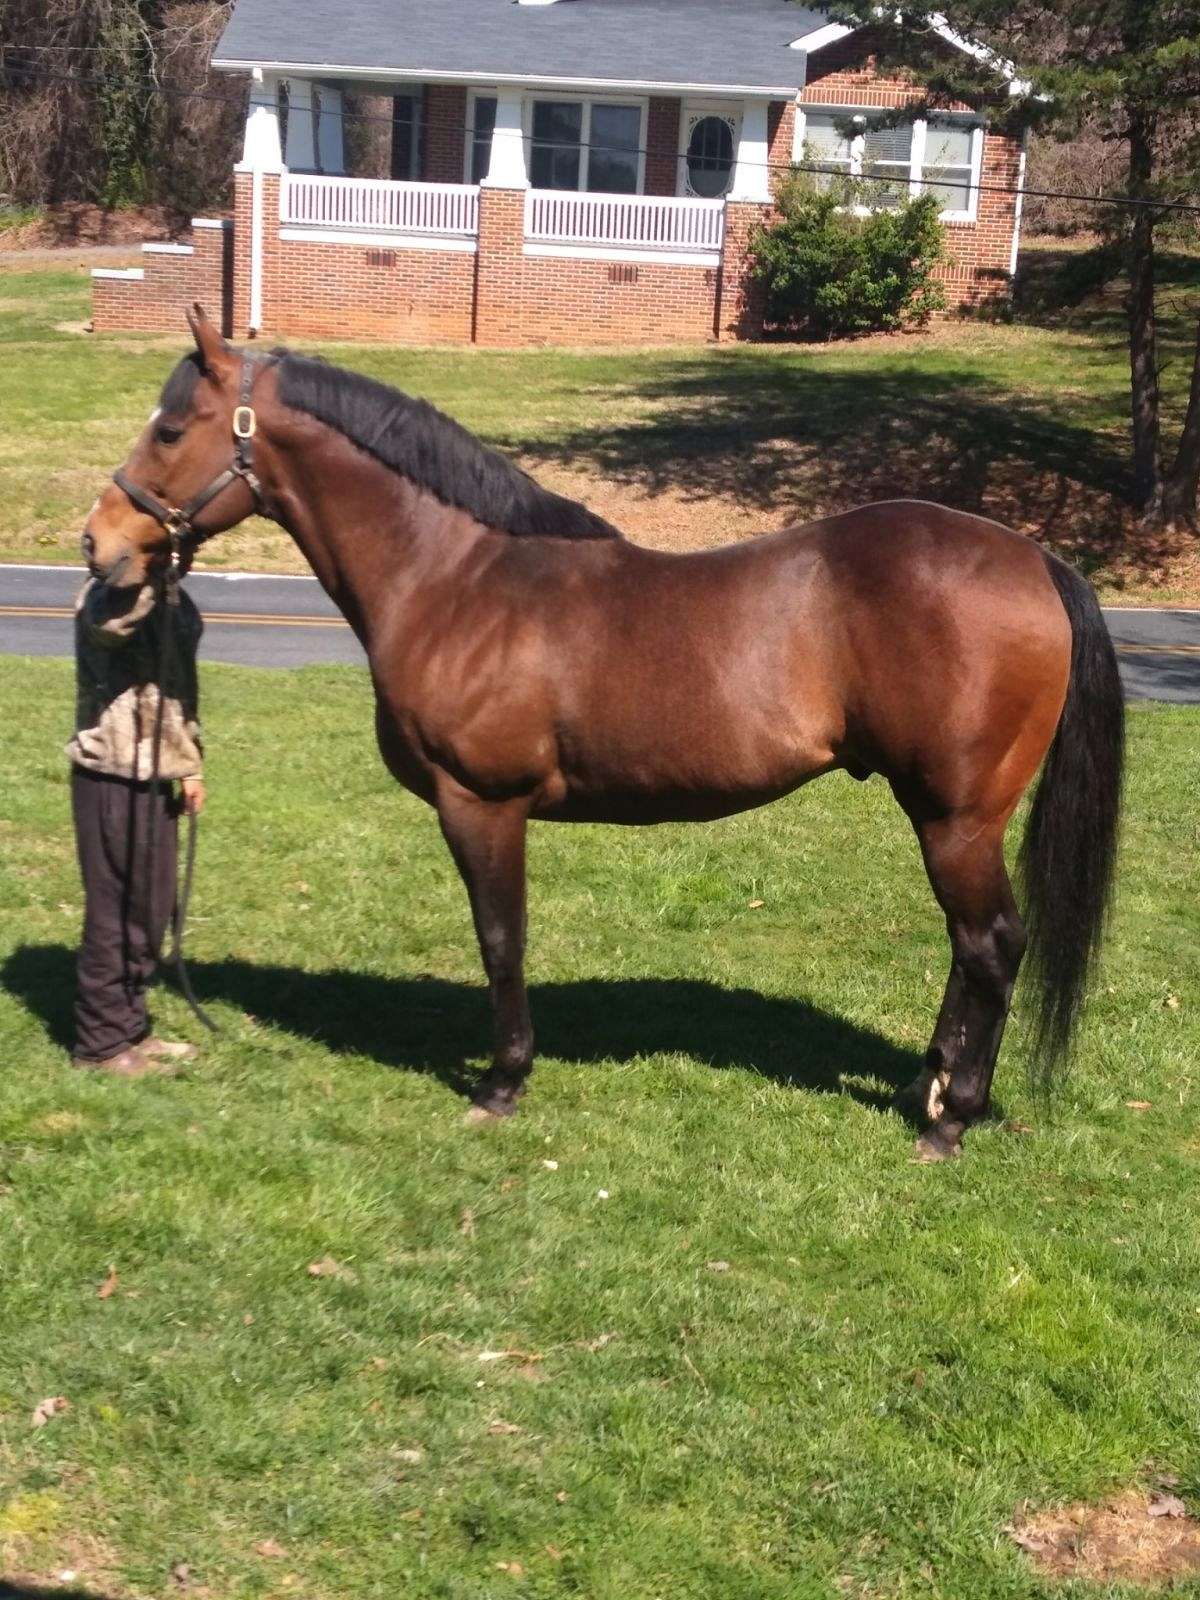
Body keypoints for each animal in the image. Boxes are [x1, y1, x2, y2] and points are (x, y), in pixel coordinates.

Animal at [82, 305, 1124, 1160]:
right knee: (967, 948)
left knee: (991, 945)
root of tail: (1035, 559)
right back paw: (929, 1086)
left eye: (171, 428)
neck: (454, 576)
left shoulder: (482, 804)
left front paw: (501, 1082)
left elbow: (501, 938)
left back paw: (951, 1119)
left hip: (957, 820)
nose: (101, 542)